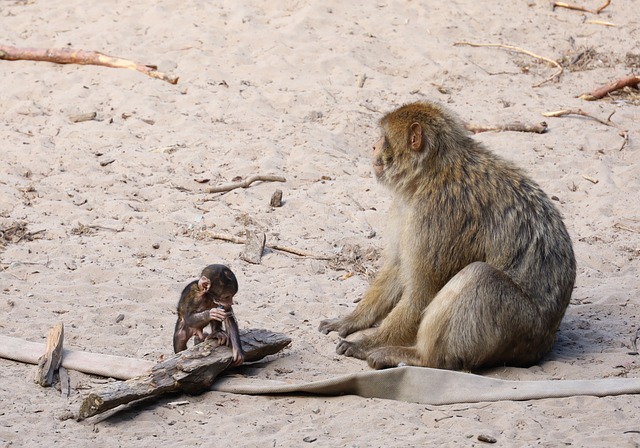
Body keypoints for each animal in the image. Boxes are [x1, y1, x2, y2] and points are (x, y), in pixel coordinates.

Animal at [319, 101, 576, 371]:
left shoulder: (437, 215)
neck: (432, 172)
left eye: (384, 137)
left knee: (481, 277)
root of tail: (546, 341)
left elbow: (422, 293)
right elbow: (398, 266)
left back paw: (421, 357)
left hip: (522, 327)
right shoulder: (407, 208)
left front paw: (367, 342)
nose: (373, 145)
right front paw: (352, 319)